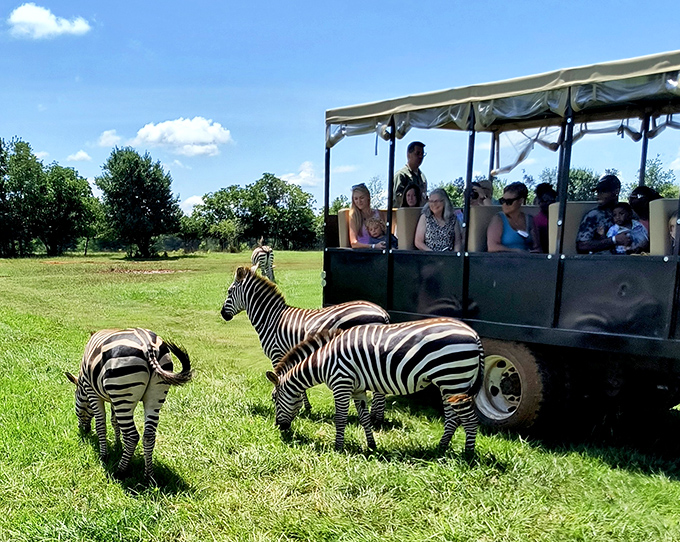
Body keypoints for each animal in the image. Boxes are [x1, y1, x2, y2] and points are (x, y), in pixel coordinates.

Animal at [65, 328, 193, 481]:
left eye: (76, 404)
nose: (84, 431)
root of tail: (148, 345)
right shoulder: (113, 398)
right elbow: (114, 421)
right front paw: (118, 445)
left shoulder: (92, 391)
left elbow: (101, 425)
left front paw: (104, 455)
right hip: (153, 397)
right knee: (149, 436)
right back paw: (148, 476)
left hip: (123, 391)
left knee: (132, 436)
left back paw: (120, 471)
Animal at [221, 265, 390, 422]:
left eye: (229, 292)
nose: (223, 314)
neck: (271, 319)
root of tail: (382, 312)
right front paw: (305, 406)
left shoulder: (277, 354)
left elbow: (281, 378)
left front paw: (300, 406)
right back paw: (376, 415)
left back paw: (377, 418)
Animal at [265, 317, 484, 454]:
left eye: (274, 398)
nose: (279, 428)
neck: (323, 360)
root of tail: (474, 335)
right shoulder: (358, 390)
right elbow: (364, 419)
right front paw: (371, 446)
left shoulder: (341, 383)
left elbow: (340, 419)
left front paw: (338, 447)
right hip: (450, 384)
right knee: (453, 418)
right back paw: (441, 448)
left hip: (453, 379)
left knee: (470, 420)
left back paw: (467, 455)